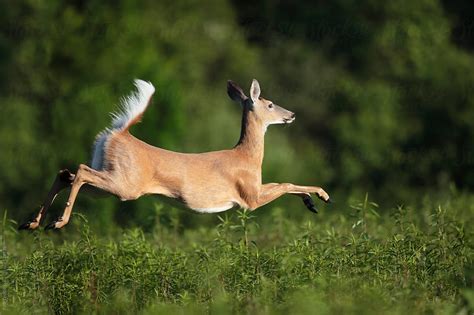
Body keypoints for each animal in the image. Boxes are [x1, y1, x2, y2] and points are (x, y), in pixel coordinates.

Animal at [18, 79, 330, 231]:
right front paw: (321, 196)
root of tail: (119, 133)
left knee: (66, 174)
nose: (292, 114)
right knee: (79, 171)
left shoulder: (253, 191)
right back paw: (57, 222)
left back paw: (32, 223)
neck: (247, 157)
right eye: (270, 104)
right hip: (124, 184)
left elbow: (282, 183)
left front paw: (312, 201)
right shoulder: (249, 198)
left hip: (110, 182)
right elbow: (284, 183)